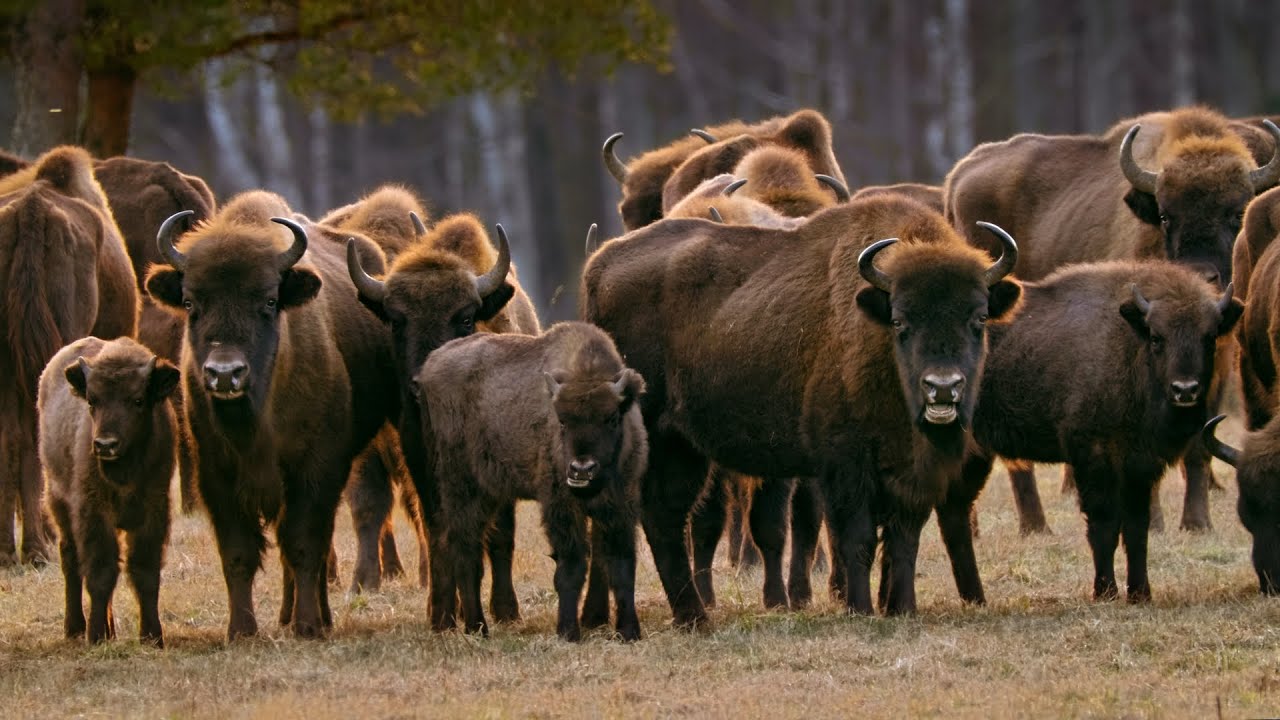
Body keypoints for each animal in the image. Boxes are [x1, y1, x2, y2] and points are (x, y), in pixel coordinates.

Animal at [39, 336, 178, 646]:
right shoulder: (92, 513)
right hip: (58, 502)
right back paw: (75, 627)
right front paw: (96, 636)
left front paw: (152, 636)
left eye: (137, 400)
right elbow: (100, 573)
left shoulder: (154, 510)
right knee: (70, 559)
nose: (105, 444)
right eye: (93, 401)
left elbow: (145, 571)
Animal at [145, 191, 398, 639]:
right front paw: (241, 630)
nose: (224, 373)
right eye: (191, 302)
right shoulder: (217, 476)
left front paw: (308, 625)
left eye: (268, 300)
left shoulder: (315, 471)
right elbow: (238, 553)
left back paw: (315, 617)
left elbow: (303, 546)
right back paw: (284, 614)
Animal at [582, 195, 1021, 622]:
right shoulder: (845, 463)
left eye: (979, 318)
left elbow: (903, 541)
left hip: (681, 446)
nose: (942, 388)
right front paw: (861, 610)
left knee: (665, 519)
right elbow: (857, 538)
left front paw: (902, 608)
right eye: (900, 321)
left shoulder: (912, 475)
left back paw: (693, 617)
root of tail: (601, 264)